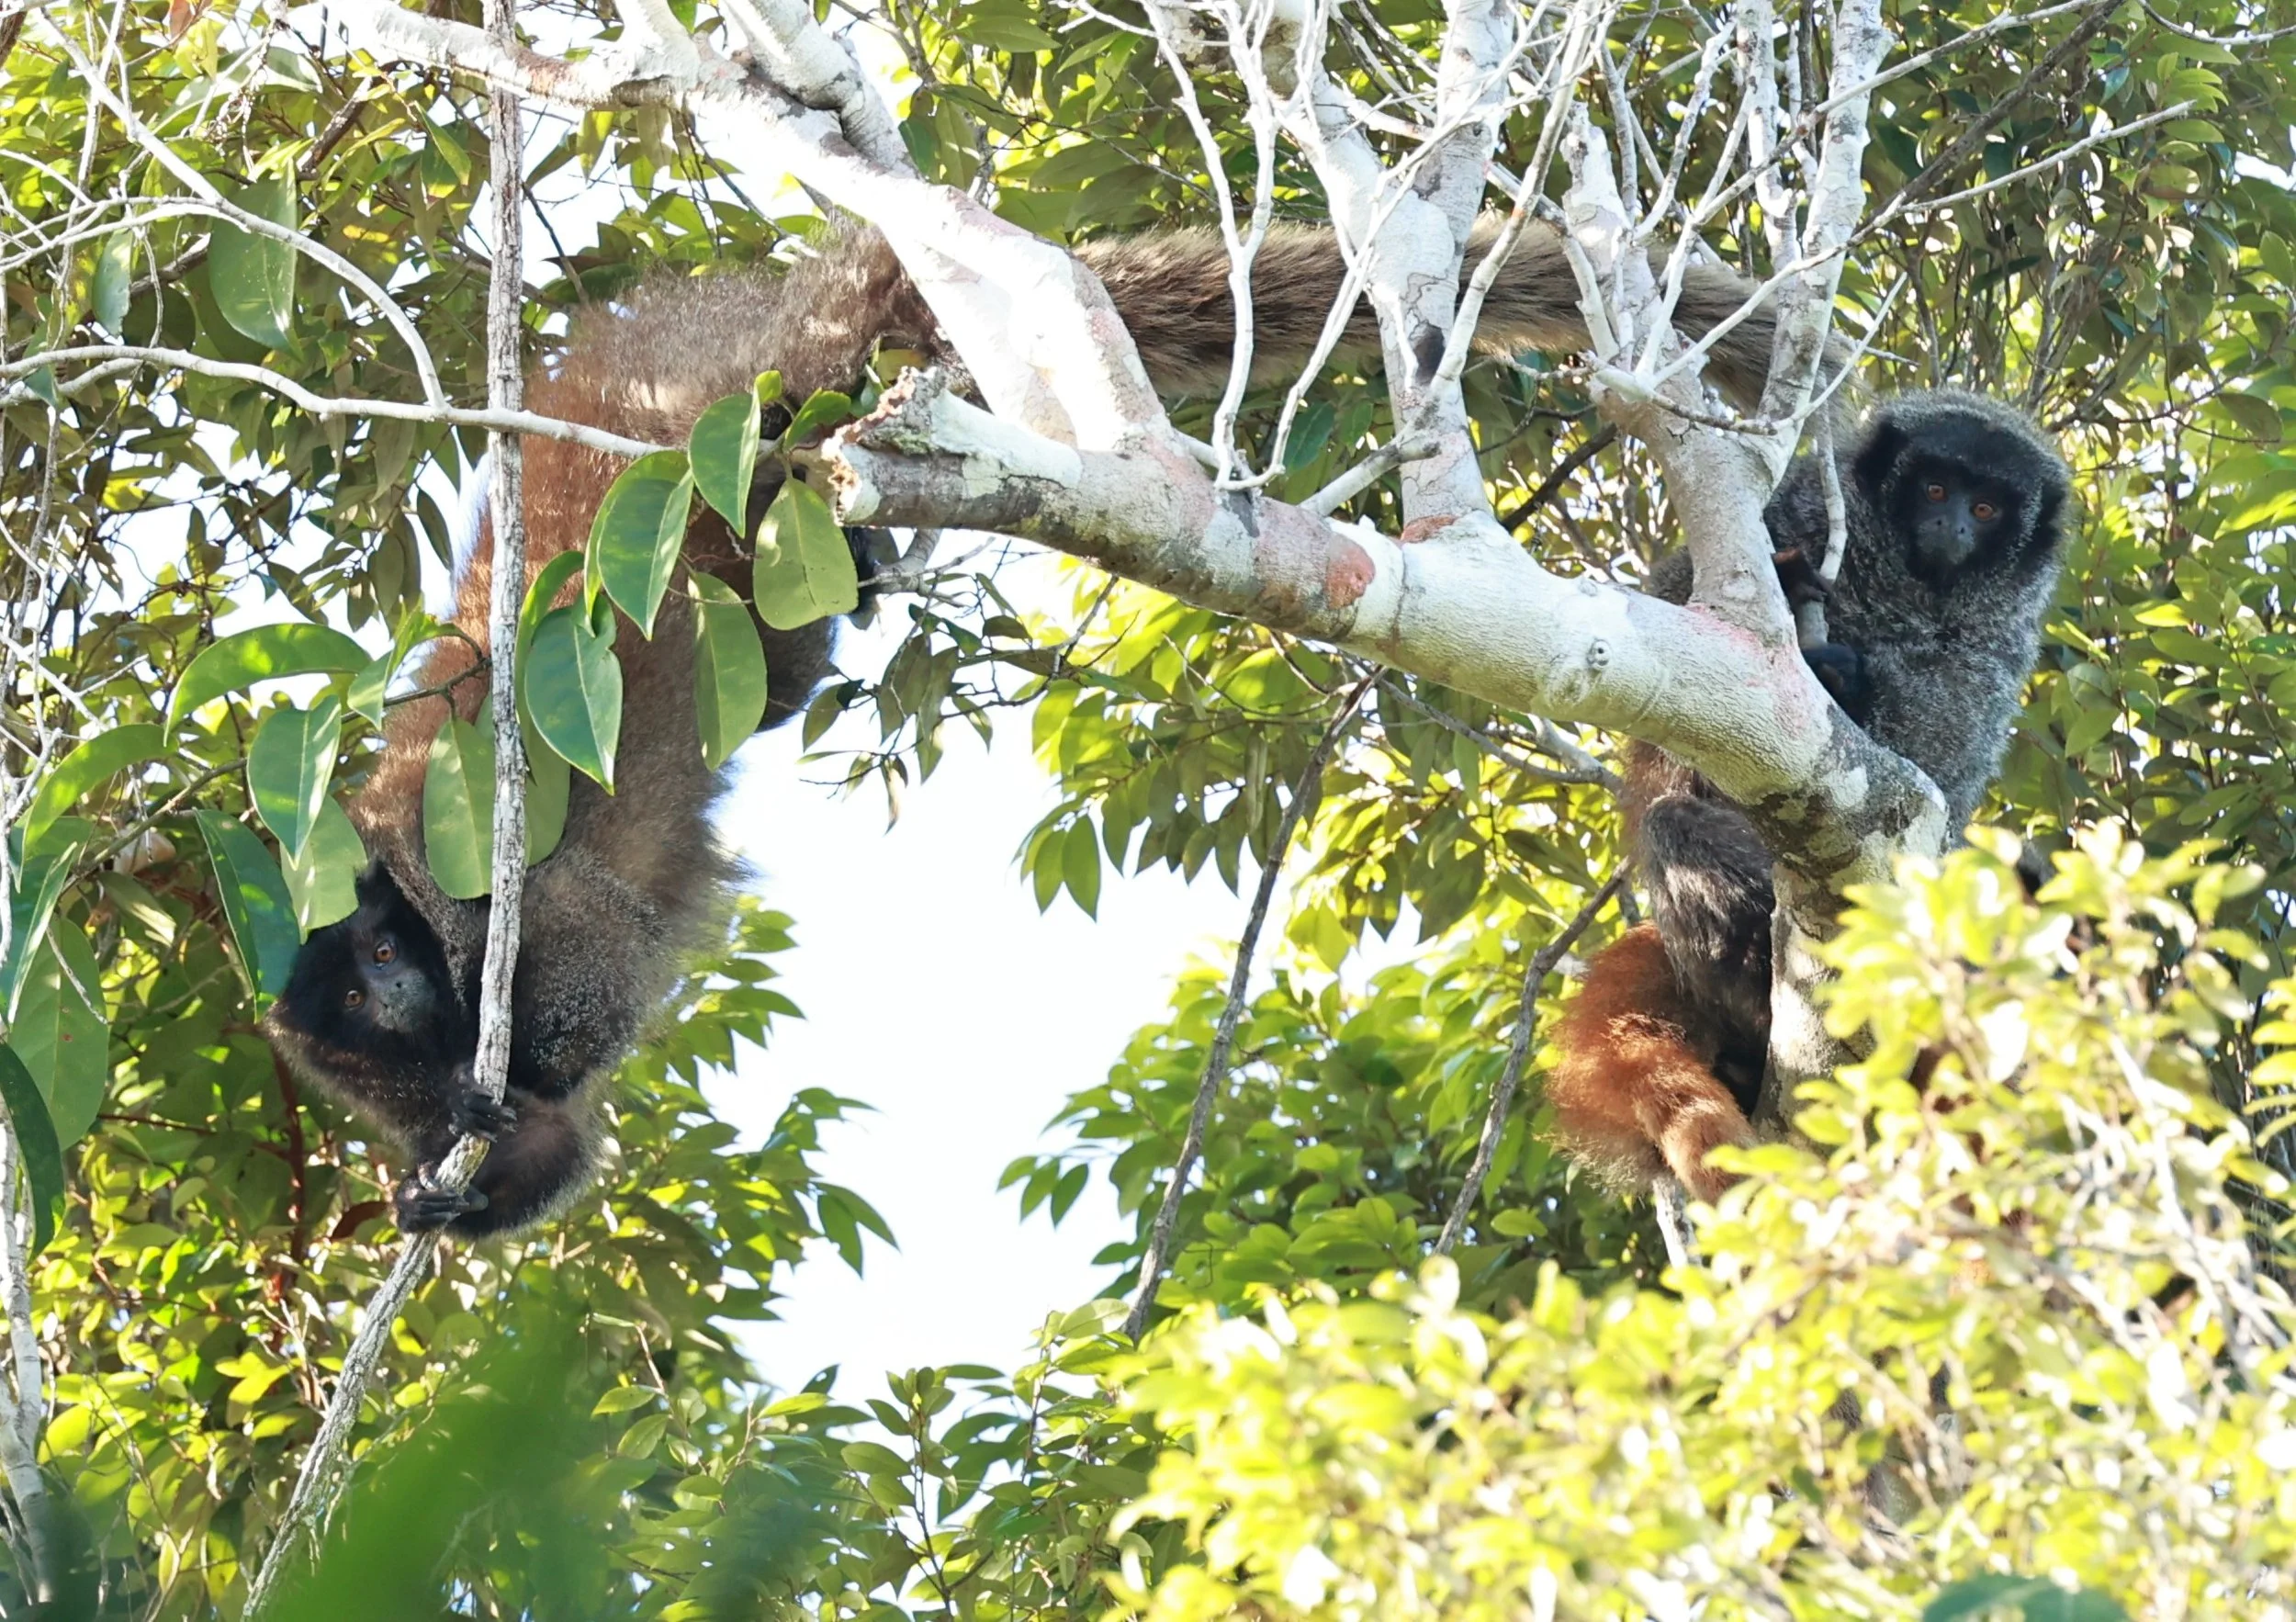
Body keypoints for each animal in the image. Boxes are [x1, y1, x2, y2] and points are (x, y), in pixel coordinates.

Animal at [264, 217, 1825, 1237]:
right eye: (359, 988)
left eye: (393, 950)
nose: (396, 990)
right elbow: (549, 1135)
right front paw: (456, 1181)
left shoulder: (453, 859)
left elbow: (588, 963)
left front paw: (522, 1062)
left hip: (737, 406)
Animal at [1545, 390, 2075, 1201]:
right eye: (1934, 489)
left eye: (1986, 508)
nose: (1953, 525)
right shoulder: (1786, 518)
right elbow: (1674, 734)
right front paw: (1803, 612)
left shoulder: (1995, 650)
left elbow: (1935, 774)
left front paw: (1850, 683)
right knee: (1674, 826)